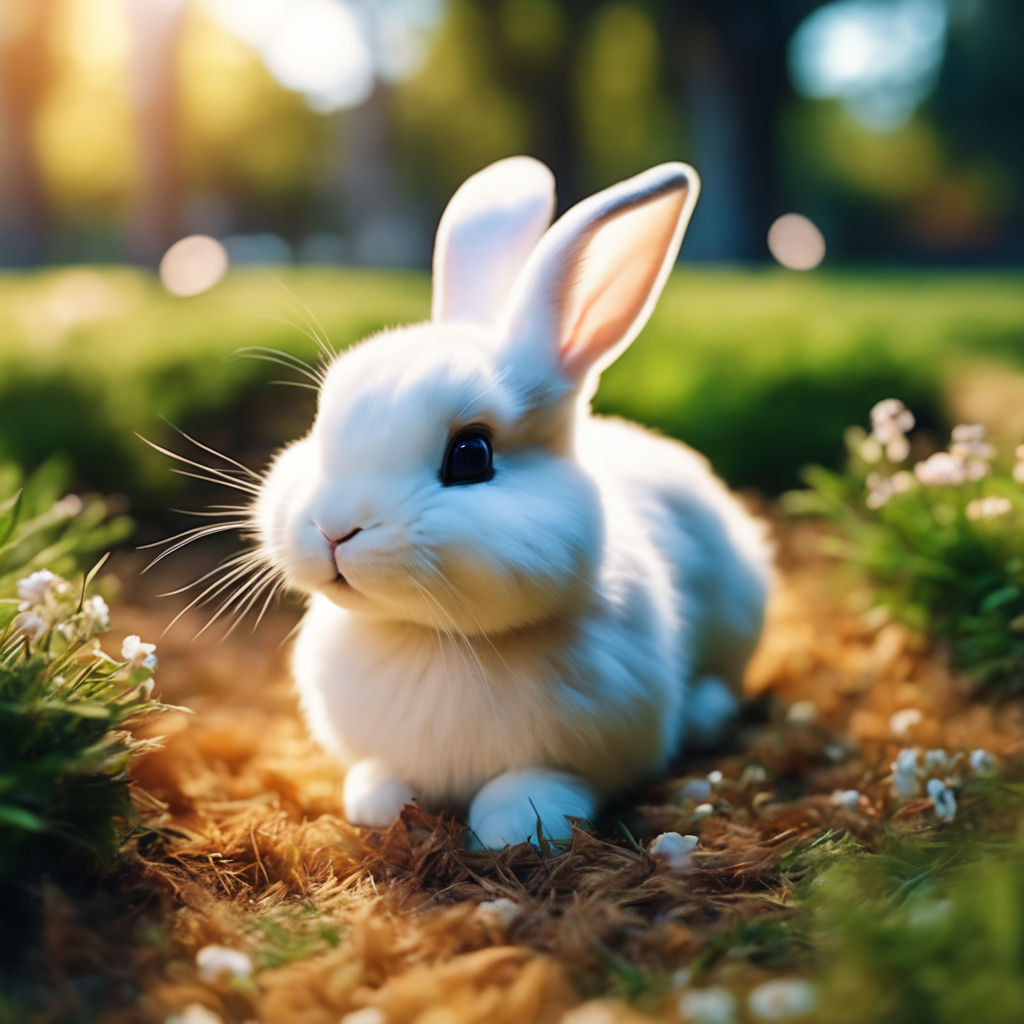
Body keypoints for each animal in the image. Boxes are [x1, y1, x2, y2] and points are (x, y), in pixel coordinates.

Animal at [254, 156, 772, 849]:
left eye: (471, 456)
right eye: (319, 423)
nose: (335, 528)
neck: (431, 636)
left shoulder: (571, 755)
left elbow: (532, 789)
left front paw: (515, 831)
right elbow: (386, 778)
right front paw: (376, 805)